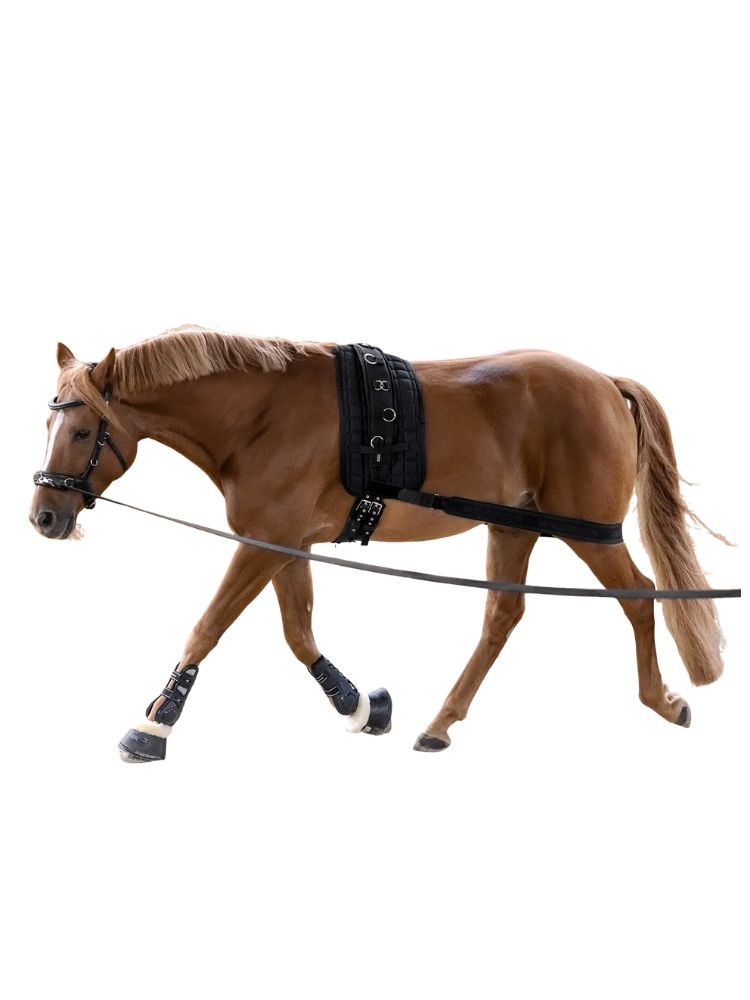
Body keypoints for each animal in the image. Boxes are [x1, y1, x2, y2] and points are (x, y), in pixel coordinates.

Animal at [29, 325, 728, 761]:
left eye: (84, 429)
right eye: (48, 424)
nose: (44, 515)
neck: (261, 413)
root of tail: (605, 382)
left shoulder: (264, 541)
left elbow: (209, 626)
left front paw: (154, 723)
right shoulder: (286, 543)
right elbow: (299, 633)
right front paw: (362, 706)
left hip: (588, 532)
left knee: (640, 597)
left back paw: (663, 701)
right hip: (513, 525)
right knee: (502, 615)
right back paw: (440, 724)